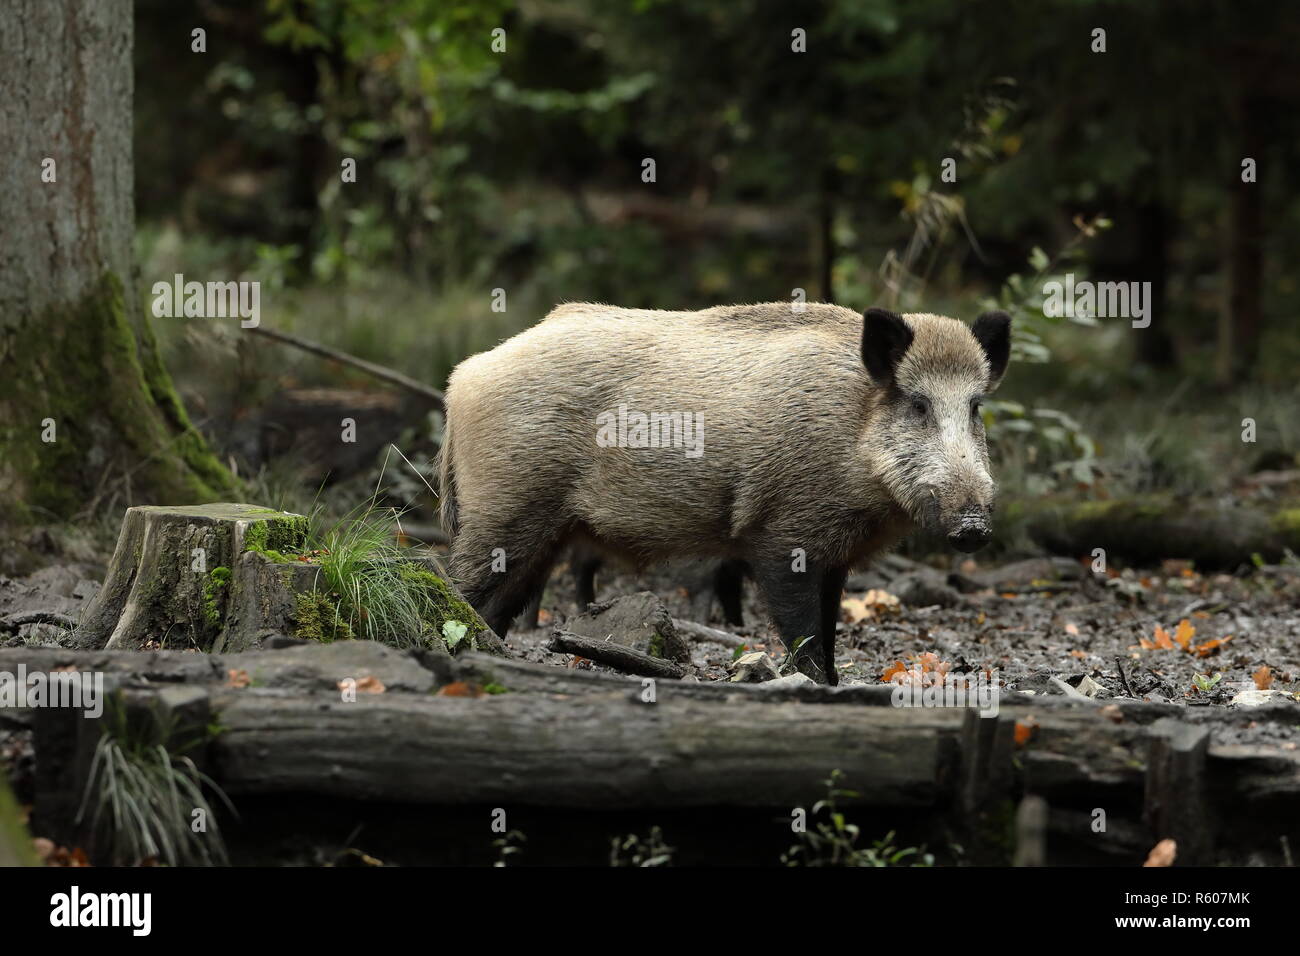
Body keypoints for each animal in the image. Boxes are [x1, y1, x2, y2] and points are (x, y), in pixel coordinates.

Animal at [438, 302, 1011, 684]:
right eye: (918, 404)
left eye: (976, 406)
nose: (974, 526)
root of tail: (461, 377)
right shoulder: (782, 537)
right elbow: (802, 628)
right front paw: (814, 685)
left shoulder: (835, 554)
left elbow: (828, 626)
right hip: (504, 507)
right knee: (462, 585)